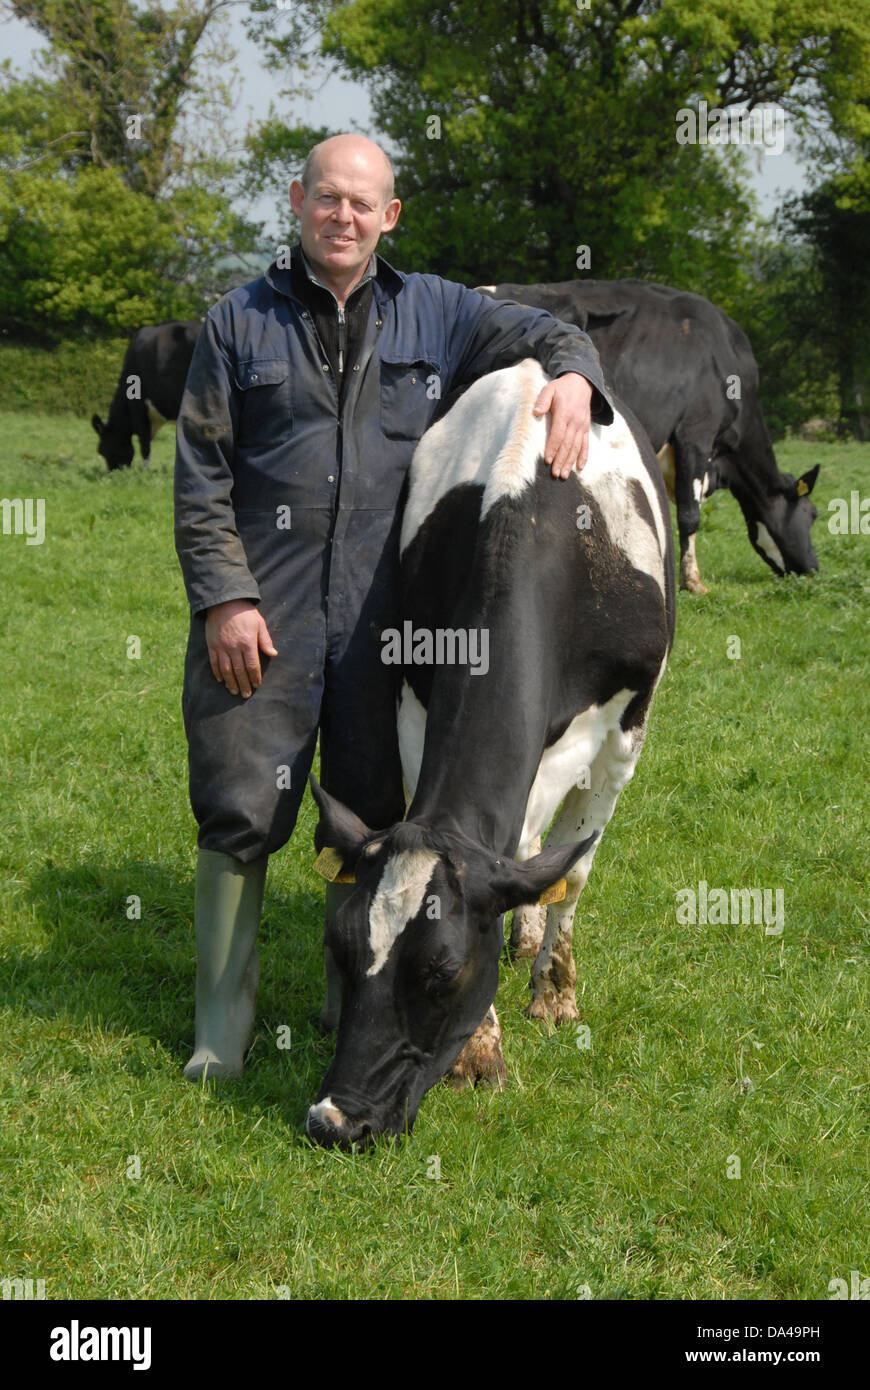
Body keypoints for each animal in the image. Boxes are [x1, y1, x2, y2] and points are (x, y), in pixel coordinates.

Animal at [305, 357, 675, 1149]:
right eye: (342, 951)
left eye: (442, 972)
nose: (335, 1120)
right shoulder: (414, 705)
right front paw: (482, 1049)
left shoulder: (624, 735)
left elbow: (575, 870)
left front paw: (554, 994)